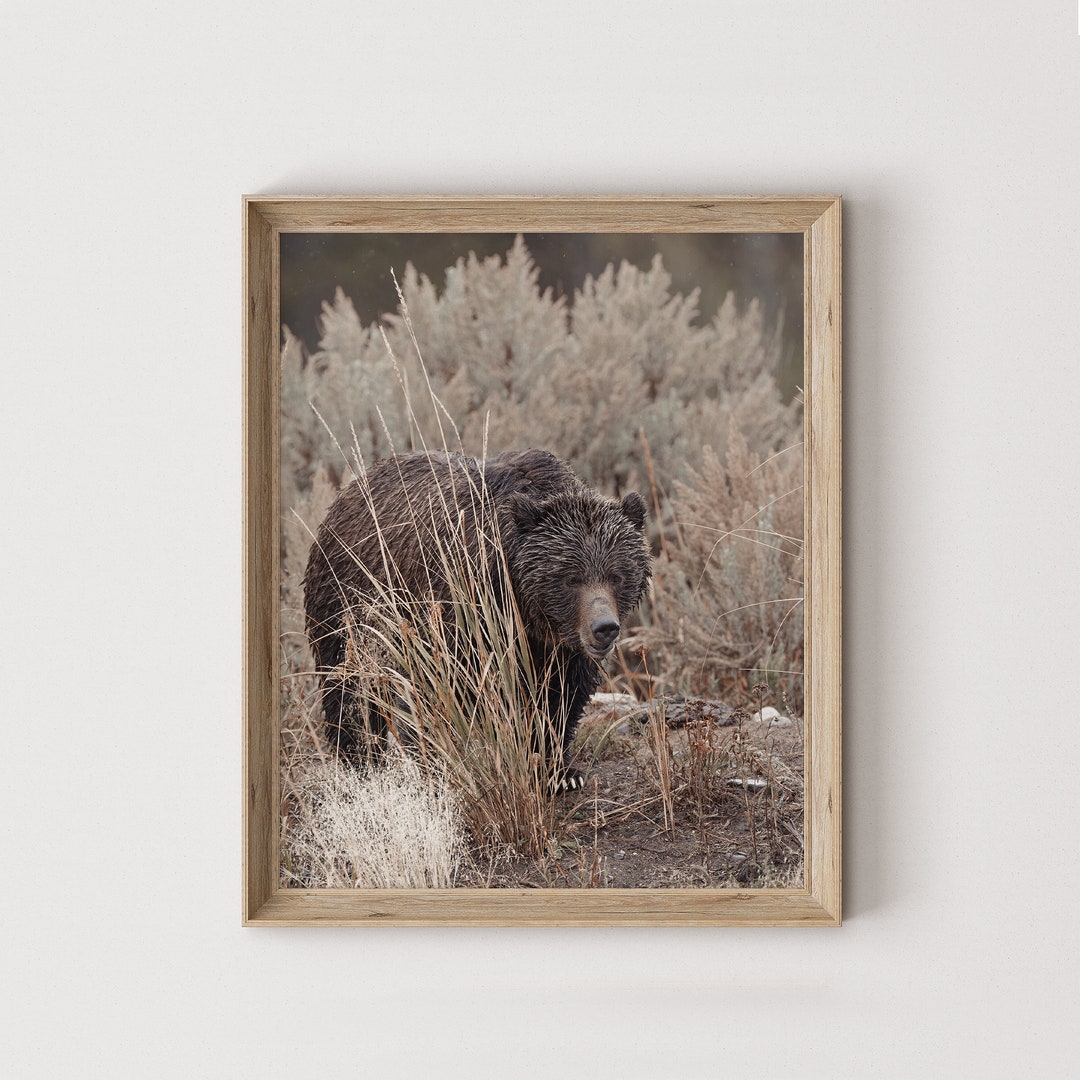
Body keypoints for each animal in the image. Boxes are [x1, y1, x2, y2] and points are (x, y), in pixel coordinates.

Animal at [302, 448, 652, 789]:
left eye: (617, 575)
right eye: (571, 578)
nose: (604, 628)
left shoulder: (560, 647)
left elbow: (561, 696)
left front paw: (562, 772)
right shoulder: (460, 607)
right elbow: (442, 689)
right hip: (348, 604)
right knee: (349, 690)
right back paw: (359, 762)